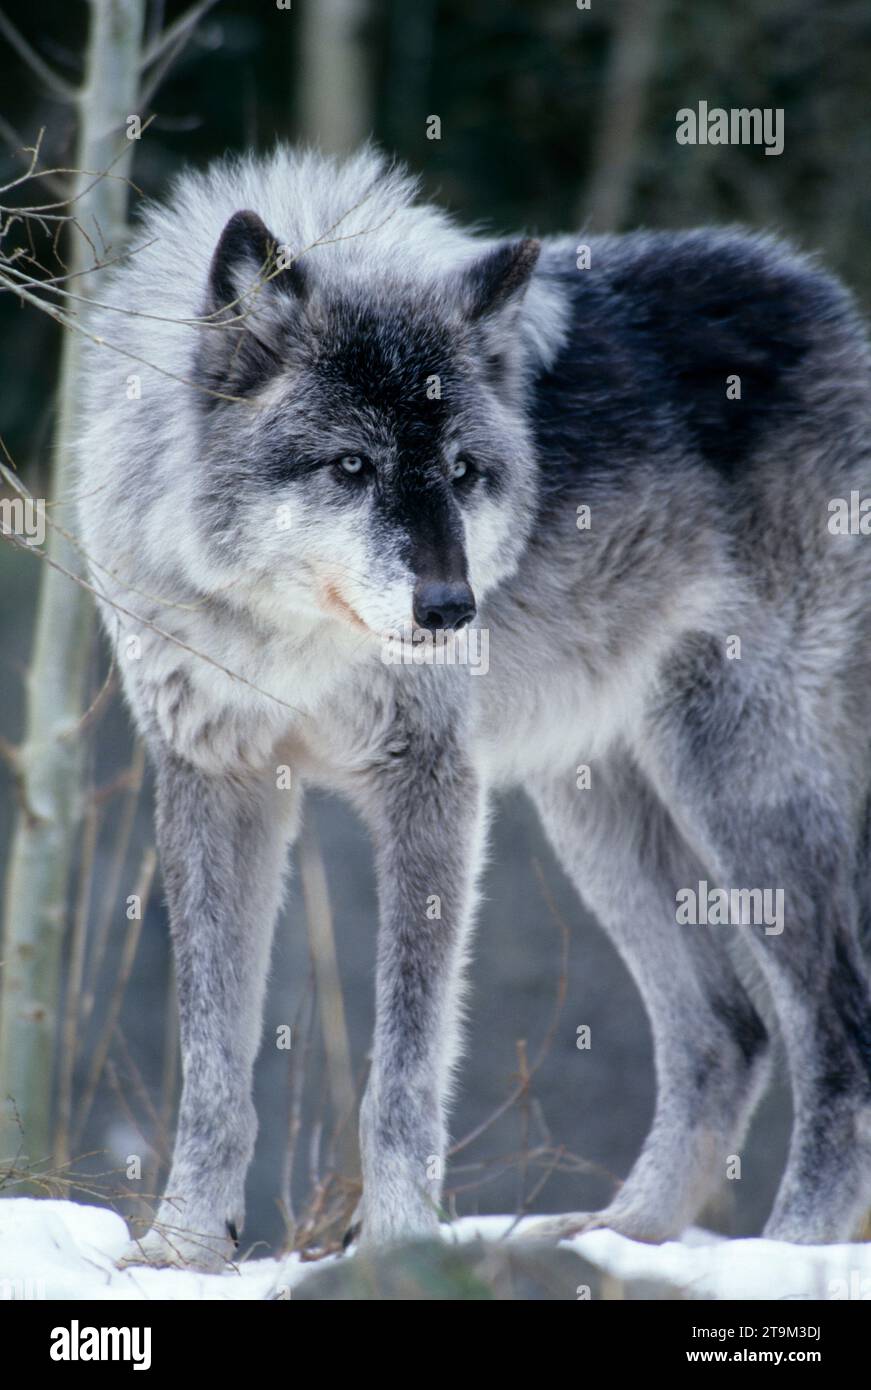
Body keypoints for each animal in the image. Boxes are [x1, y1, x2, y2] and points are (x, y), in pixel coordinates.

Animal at [76, 145, 871, 1267]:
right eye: (352, 466)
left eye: (461, 472)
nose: (453, 608)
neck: (295, 640)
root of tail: (827, 298)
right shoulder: (215, 780)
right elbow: (212, 1064)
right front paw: (182, 1247)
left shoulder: (434, 784)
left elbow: (406, 1066)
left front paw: (399, 1243)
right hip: (595, 808)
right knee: (727, 1031)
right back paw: (619, 1240)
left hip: (734, 781)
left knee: (837, 1032)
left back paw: (789, 1254)